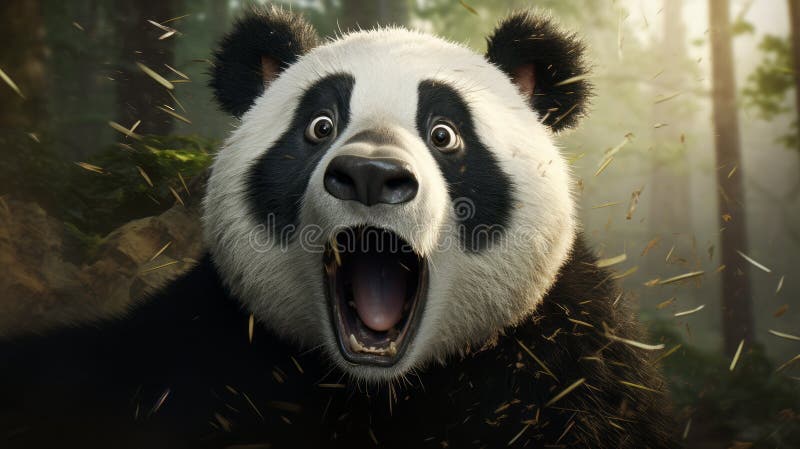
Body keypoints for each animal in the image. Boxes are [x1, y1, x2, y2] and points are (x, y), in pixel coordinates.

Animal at [0, 6, 678, 449]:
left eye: (444, 133)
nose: (371, 175)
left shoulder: (567, 369)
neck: (375, 389)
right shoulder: (198, 355)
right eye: (320, 125)